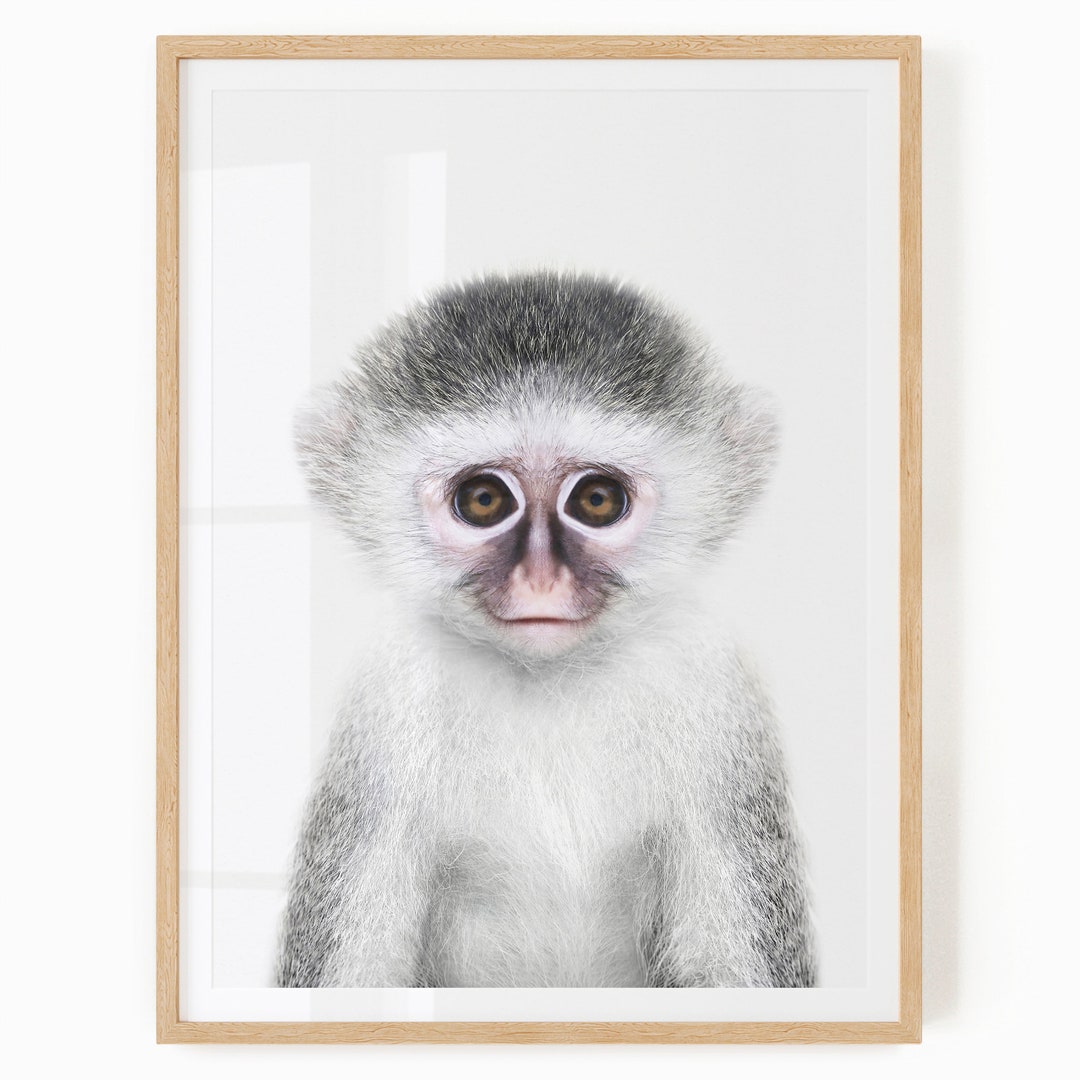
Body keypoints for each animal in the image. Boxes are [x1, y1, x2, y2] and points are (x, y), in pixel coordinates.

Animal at [275, 270, 816, 989]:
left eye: (596, 500)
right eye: (483, 500)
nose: (540, 581)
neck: (546, 683)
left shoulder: (720, 696)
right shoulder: (385, 705)